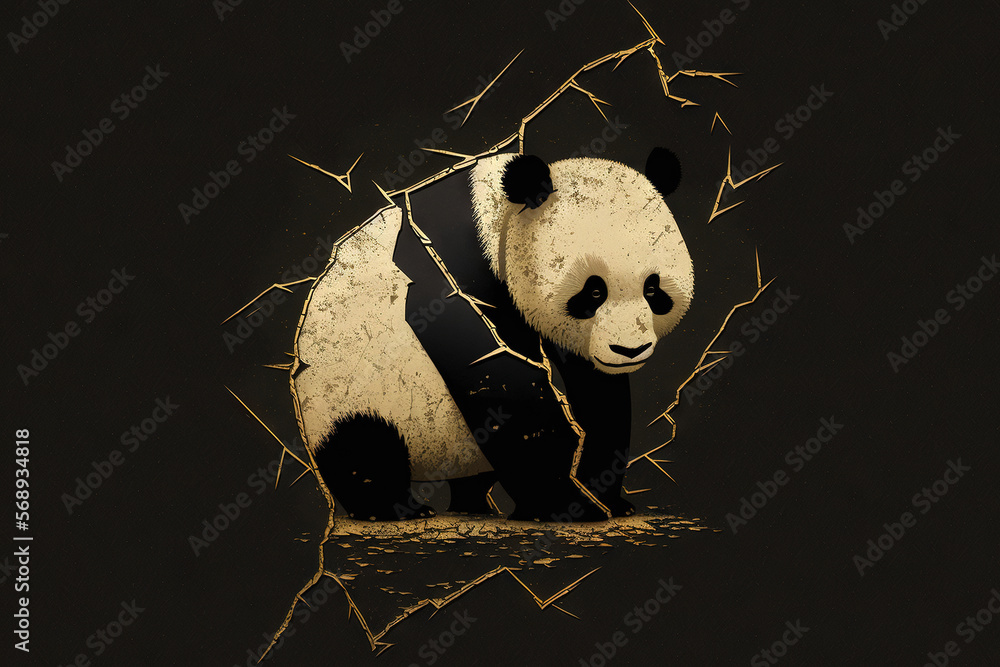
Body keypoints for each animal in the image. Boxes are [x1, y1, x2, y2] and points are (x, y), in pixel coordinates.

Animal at [291, 148, 693, 522]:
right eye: (594, 292)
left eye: (653, 289)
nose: (630, 350)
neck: (500, 215)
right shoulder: (446, 274)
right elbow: (500, 379)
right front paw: (569, 506)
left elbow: (599, 394)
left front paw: (607, 497)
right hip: (346, 396)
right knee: (363, 447)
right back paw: (398, 508)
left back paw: (474, 505)